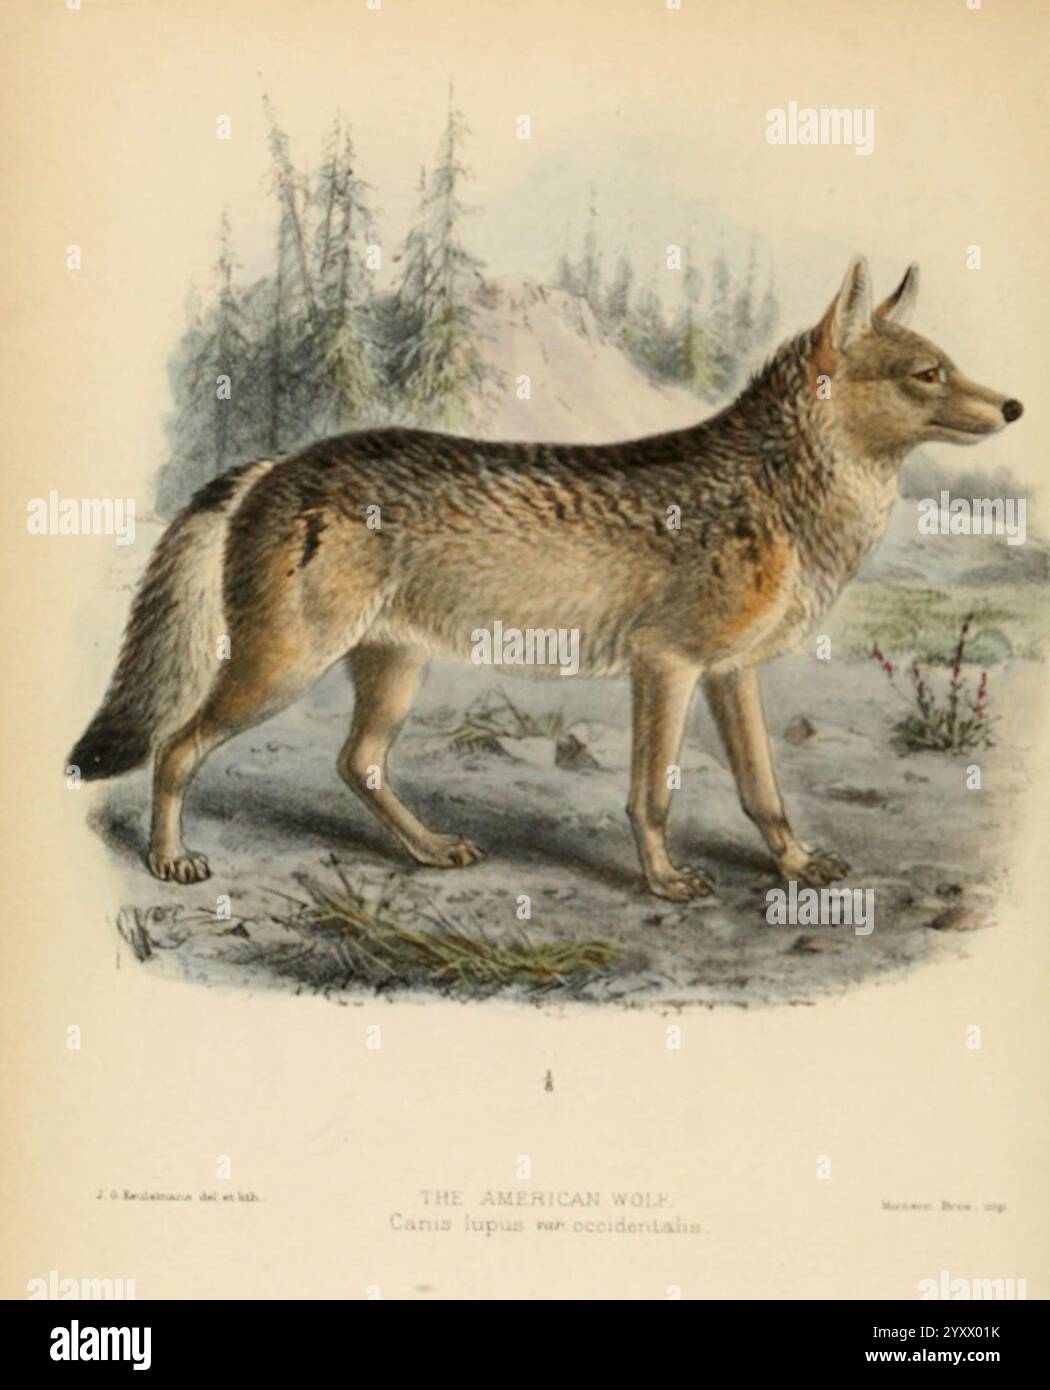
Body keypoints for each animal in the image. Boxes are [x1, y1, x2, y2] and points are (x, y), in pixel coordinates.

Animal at [69, 255, 1022, 901]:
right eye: (928, 374)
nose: (1015, 406)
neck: (780, 494)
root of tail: (275, 464)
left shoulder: (731, 674)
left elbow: (764, 790)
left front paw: (793, 865)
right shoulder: (667, 669)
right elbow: (651, 796)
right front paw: (664, 880)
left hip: (391, 670)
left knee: (357, 764)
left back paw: (428, 851)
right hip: (279, 670)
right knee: (177, 746)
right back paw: (167, 860)